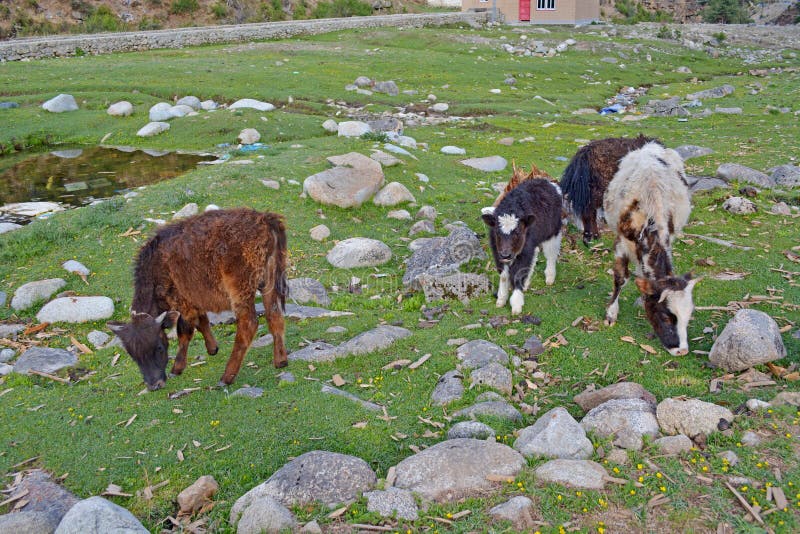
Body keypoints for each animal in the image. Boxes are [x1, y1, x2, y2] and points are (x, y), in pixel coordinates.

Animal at [108, 208, 287, 390]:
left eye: (159, 347)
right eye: (133, 355)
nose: (154, 385)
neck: (158, 264)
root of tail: (265, 219)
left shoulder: (184, 304)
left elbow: (184, 331)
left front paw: (177, 368)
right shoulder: (195, 300)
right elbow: (202, 322)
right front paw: (212, 348)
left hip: (240, 291)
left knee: (248, 324)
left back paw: (226, 377)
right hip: (268, 283)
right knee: (274, 315)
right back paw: (280, 361)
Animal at [481, 165, 563, 315]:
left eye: (518, 231)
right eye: (497, 232)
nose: (506, 254)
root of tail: (548, 182)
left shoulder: (524, 249)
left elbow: (518, 274)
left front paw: (516, 305)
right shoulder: (497, 251)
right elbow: (504, 275)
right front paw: (501, 299)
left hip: (553, 230)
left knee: (551, 253)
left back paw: (550, 277)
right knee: (535, 254)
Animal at [603, 142, 698, 356]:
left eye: (688, 316)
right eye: (665, 316)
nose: (682, 351)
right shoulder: (621, 243)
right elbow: (620, 278)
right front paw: (611, 313)